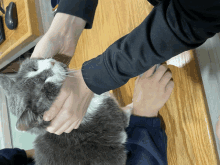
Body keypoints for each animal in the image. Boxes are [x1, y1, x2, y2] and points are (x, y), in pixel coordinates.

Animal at [0, 58, 132, 165]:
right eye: (45, 84)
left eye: (34, 68)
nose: (52, 63)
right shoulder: (114, 114)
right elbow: (126, 113)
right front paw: (131, 103)